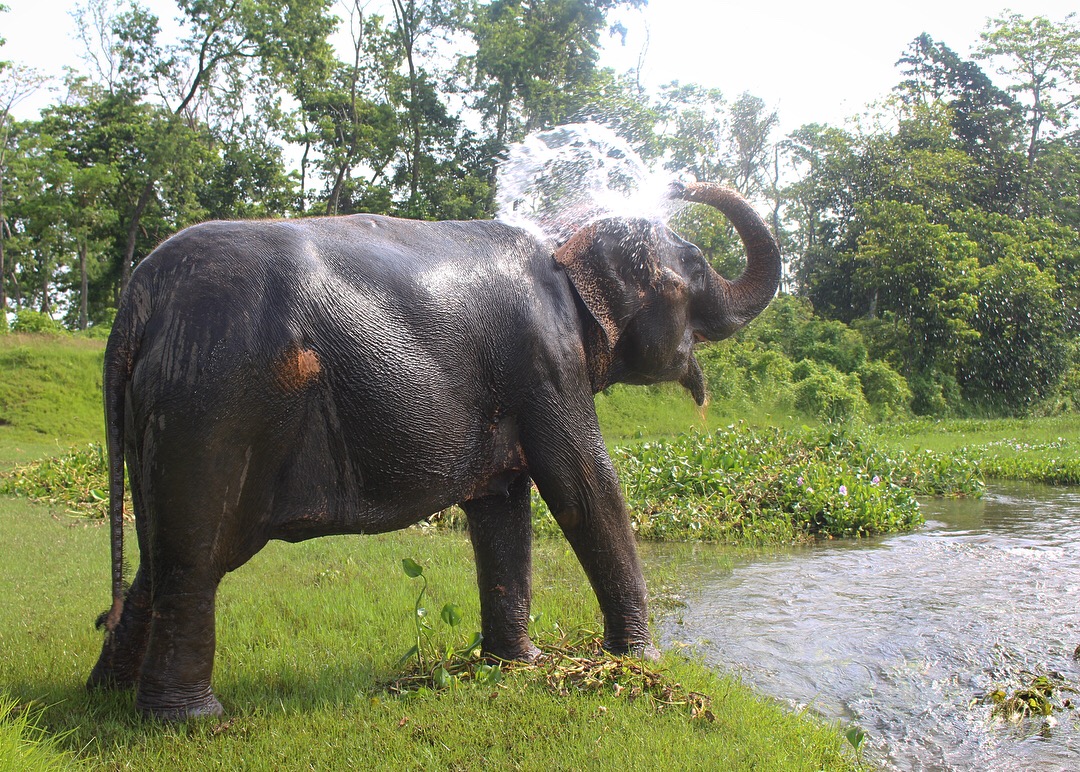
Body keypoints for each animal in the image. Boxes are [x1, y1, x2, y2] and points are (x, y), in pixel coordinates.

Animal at [87, 182, 781, 720]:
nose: (680, 182)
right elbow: (583, 486)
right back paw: (192, 721)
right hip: (217, 403)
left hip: (165, 414)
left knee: (158, 557)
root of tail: (138, 300)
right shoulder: (548, 360)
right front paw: (641, 662)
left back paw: (108, 697)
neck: (562, 241)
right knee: (195, 559)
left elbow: (504, 506)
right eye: (696, 265)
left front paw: (518, 665)